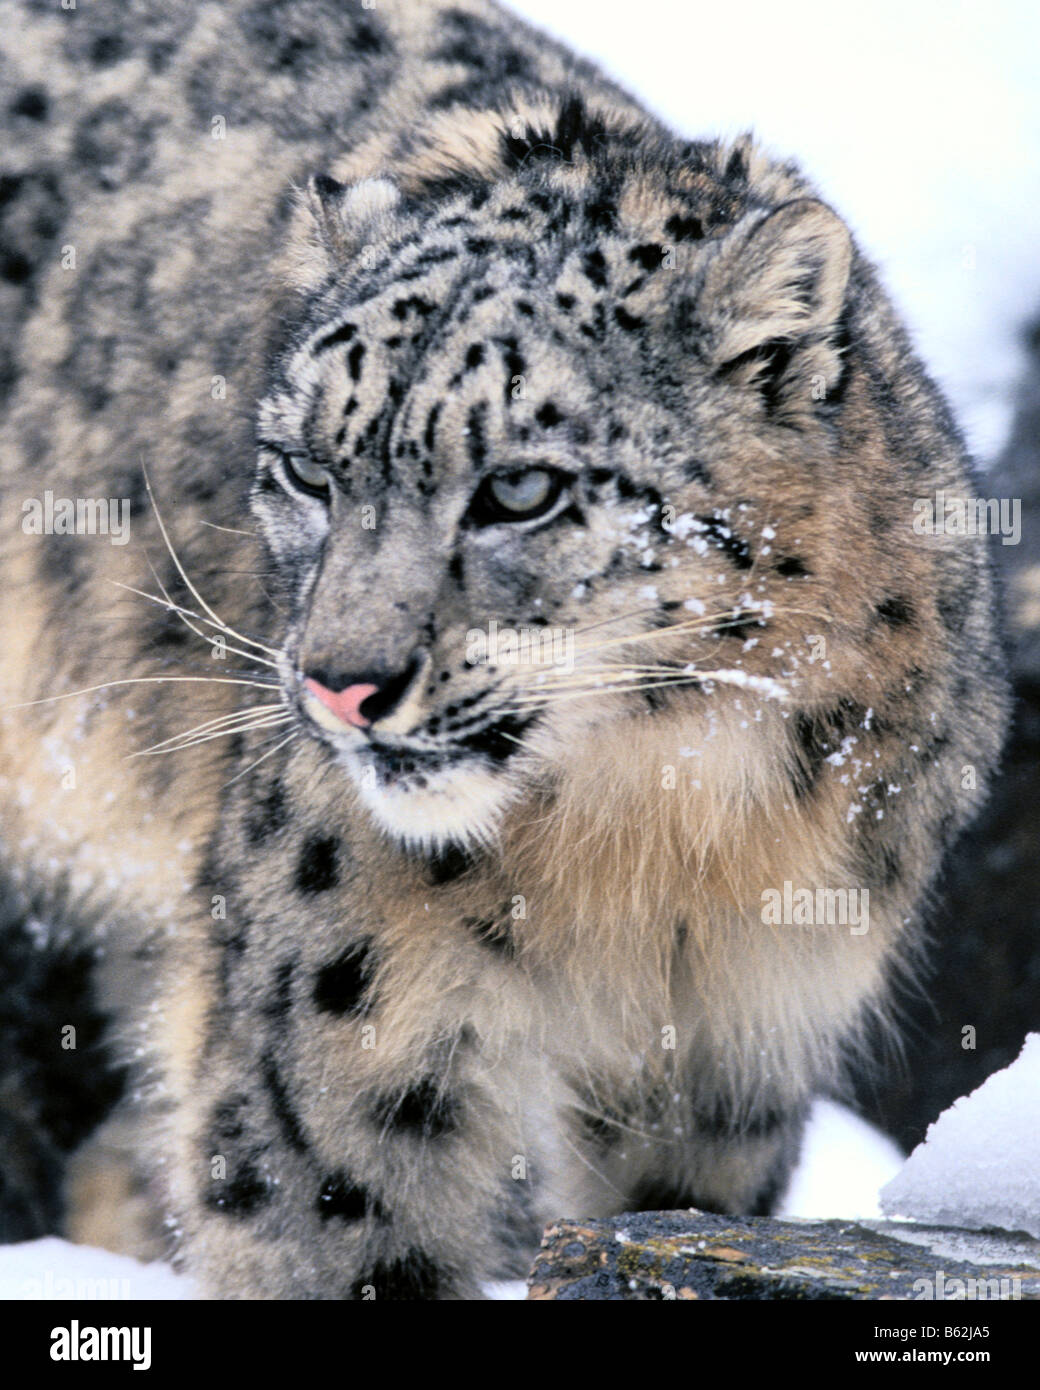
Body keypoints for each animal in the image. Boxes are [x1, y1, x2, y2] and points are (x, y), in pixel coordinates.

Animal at [0, 0, 1009, 1298]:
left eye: (521, 489)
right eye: (307, 470)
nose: (338, 683)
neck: (658, 834)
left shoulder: (733, 1055)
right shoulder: (348, 1042)